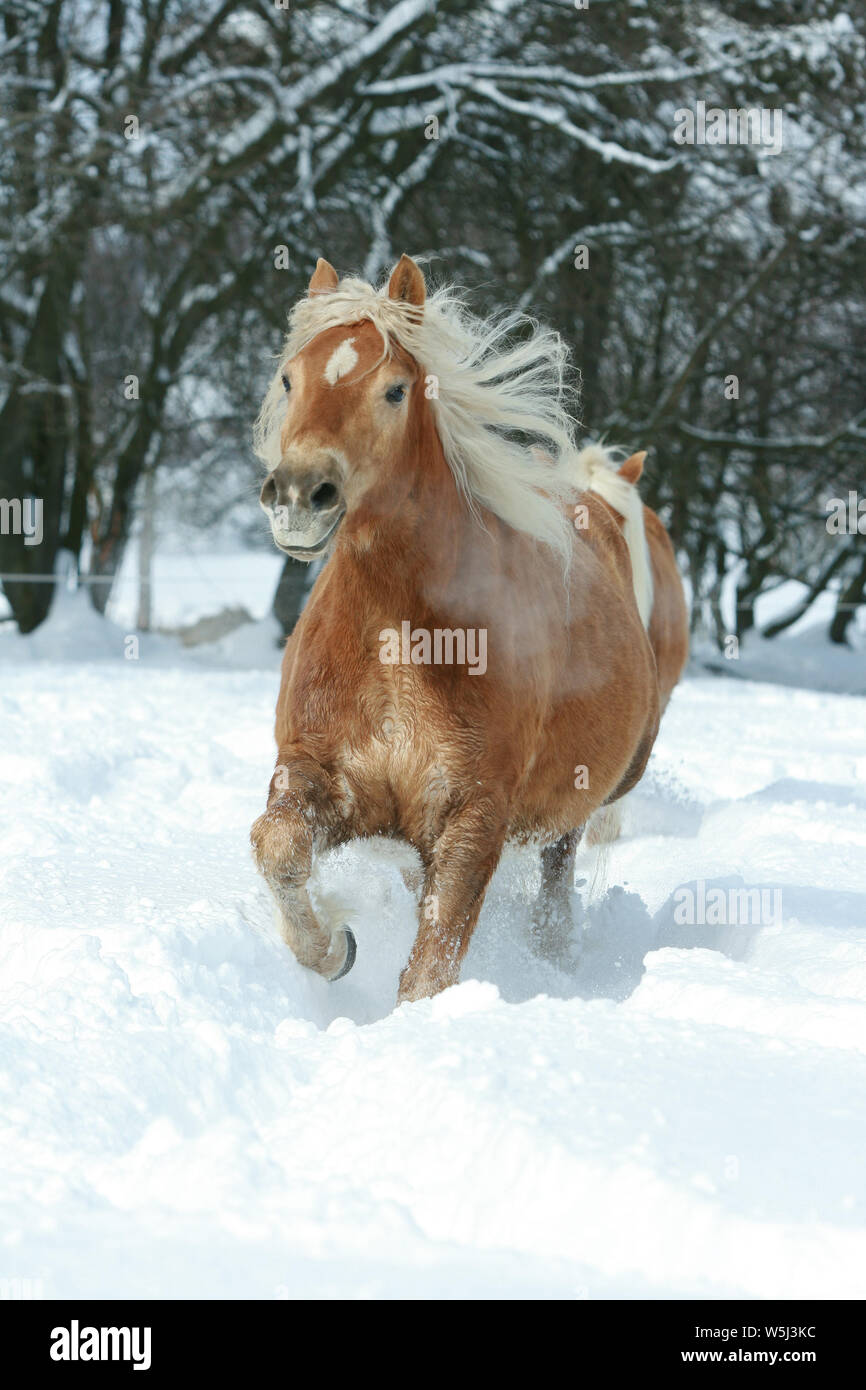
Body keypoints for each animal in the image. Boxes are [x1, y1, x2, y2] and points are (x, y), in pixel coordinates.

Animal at [250, 254, 688, 1002]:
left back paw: (556, 951)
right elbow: (276, 846)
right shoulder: (316, 774)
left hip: (580, 798)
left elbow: (432, 964)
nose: (300, 496)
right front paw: (333, 948)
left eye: (395, 390)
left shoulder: (475, 816)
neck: (398, 642)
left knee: (558, 867)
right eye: (288, 379)